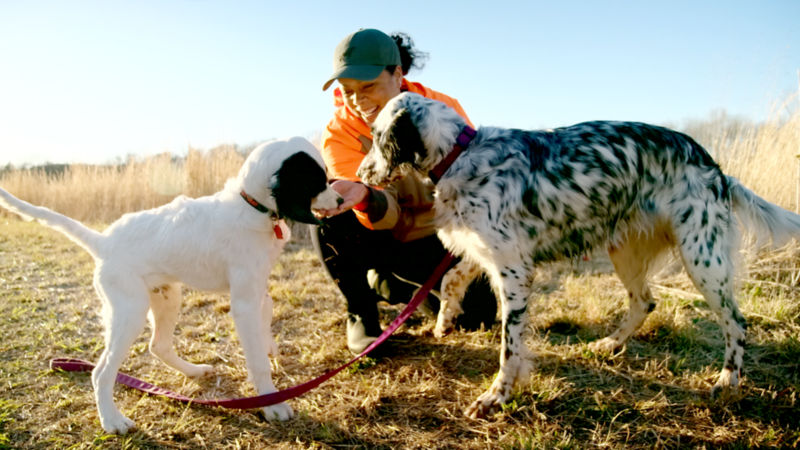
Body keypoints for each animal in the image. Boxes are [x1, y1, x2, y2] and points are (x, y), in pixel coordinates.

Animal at [0, 136, 340, 432]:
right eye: (318, 179)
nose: (339, 198)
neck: (250, 205)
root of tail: (103, 242)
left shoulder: (257, 286)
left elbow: (266, 313)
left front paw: (270, 347)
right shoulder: (243, 301)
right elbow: (256, 359)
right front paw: (272, 403)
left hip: (167, 296)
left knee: (158, 345)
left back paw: (193, 371)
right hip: (129, 312)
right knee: (101, 372)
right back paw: (112, 421)